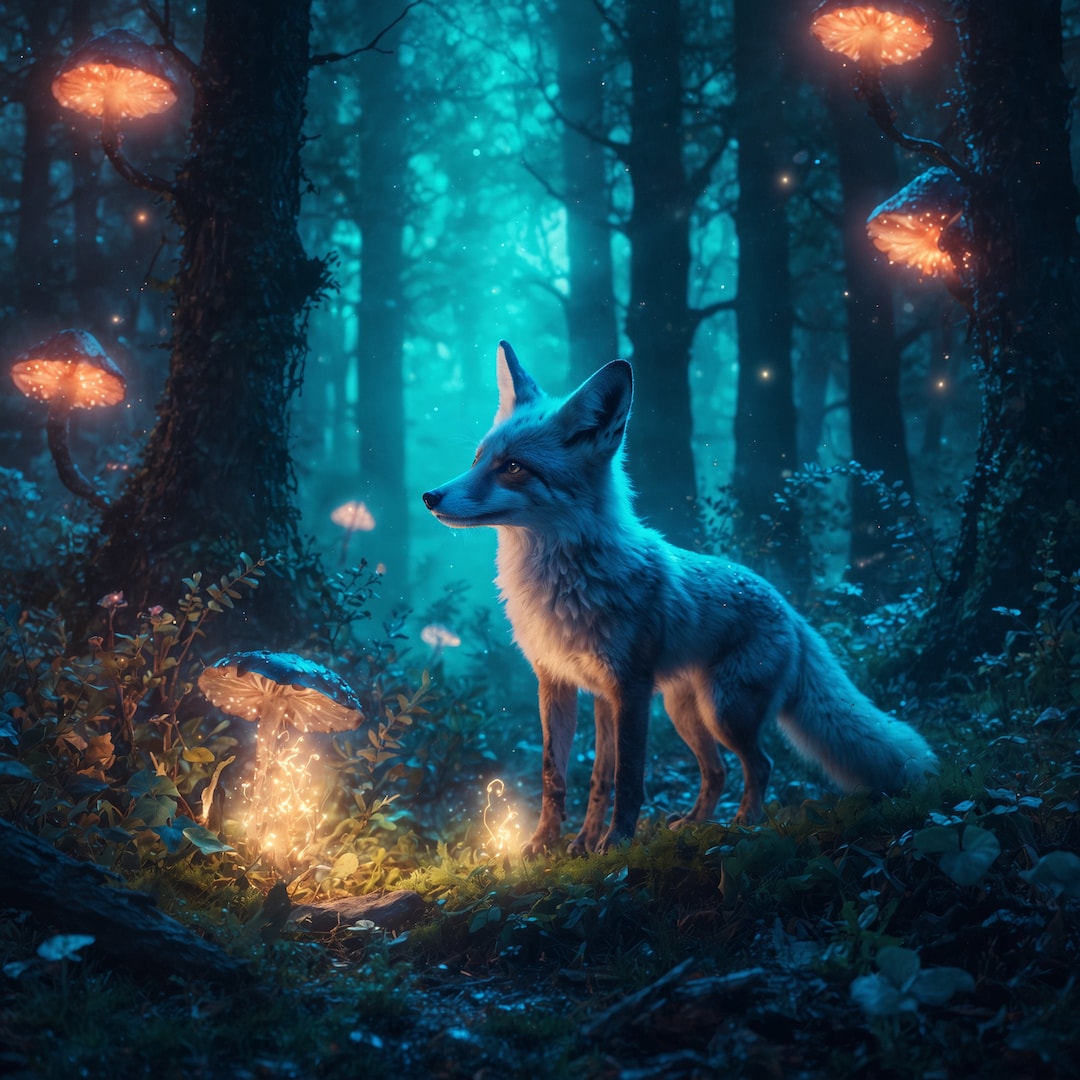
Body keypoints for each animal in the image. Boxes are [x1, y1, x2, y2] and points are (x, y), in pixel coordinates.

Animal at [422, 341, 938, 855]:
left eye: (512, 467)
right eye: (477, 459)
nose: (430, 496)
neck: (564, 585)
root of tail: (789, 608)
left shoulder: (628, 689)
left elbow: (626, 779)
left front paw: (615, 843)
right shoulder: (563, 685)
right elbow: (567, 777)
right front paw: (555, 846)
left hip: (723, 711)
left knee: (760, 764)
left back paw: (744, 825)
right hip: (684, 713)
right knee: (718, 770)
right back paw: (693, 824)